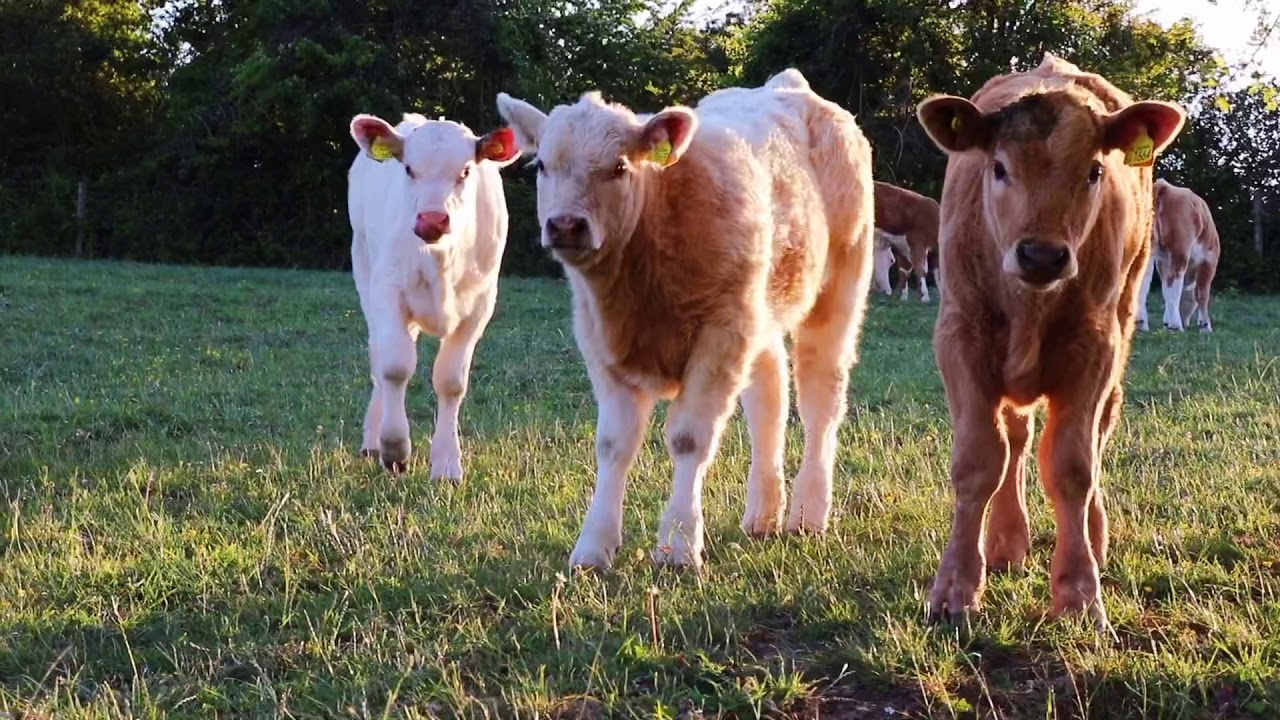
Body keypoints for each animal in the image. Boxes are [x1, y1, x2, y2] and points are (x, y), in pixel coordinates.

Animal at [347, 112, 520, 480]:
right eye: (409, 168)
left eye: (465, 171)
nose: (432, 219)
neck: (443, 259)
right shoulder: (387, 291)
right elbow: (395, 367)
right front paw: (394, 448)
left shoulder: (480, 306)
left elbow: (451, 381)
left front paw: (447, 463)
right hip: (364, 270)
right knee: (379, 357)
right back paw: (372, 440)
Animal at [496, 68, 875, 571]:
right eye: (542, 166)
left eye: (620, 167)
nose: (565, 225)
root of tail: (789, 85)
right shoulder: (599, 345)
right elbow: (613, 444)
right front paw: (594, 545)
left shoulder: (720, 338)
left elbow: (689, 439)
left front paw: (678, 542)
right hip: (759, 312)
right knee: (769, 397)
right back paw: (763, 513)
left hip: (838, 291)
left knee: (820, 401)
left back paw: (807, 514)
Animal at [915, 52, 1185, 631]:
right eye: (998, 167)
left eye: (1095, 171)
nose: (1041, 255)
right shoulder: (960, 336)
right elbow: (979, 459)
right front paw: (955, 586)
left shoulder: (1094, 346)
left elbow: (1072, 466)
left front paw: (1080, 592)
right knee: (1015, 438)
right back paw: (1005, 540)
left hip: (1122, 324)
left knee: (1098, 433)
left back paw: (1095, 539)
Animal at [1136, 179, 1221, 332]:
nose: (1186, 322)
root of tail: (1163, 186)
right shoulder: (1210, 260)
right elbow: (1202, 292)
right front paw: (1205, 326)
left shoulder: (1162, 261)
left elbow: (1165, 291)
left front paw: (1166, 322)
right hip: (1180, 250)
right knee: (1174, 282)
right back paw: (1176, 325)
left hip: (1147, 250)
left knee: (1143, 284)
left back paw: (1142, 324)